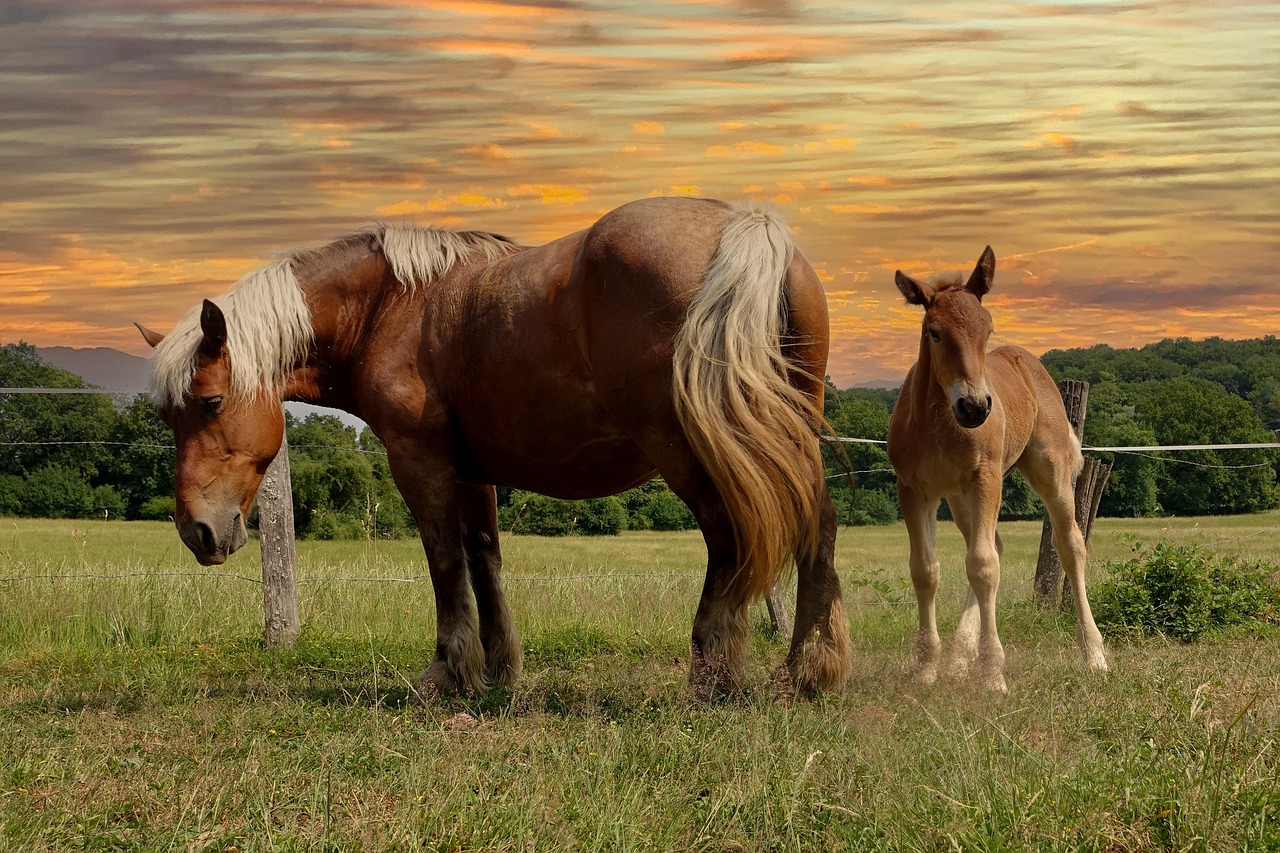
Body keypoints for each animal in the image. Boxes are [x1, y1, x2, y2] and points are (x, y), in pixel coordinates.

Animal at [136, 196, 851, 699]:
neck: (393, 305)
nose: (198, 531)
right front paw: (501, 670)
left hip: (687, 449)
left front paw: (447, 673)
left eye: (210, 402)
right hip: (789, 433)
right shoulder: (474, 471)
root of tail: (744, 229)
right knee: (815, 528)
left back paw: (714, 674)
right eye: (167, 414)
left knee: (729, 541)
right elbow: (485, 561)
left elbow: (445, 562)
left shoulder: (420, 462)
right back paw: (806, 671)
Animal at [885, 247, 1108, 693]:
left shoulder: (985, 479)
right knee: (994, 546)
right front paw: (927, 669)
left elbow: (984, 567)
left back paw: (1093, 655)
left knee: (1069, 546)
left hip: (1050, 472)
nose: (975, 407)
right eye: (934, 332)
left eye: (987, 331)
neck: (938, 423)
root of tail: (1030, 361)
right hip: (958, 499)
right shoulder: (914, 490)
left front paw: (992, 675)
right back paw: (958, 657)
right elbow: (926, 570)